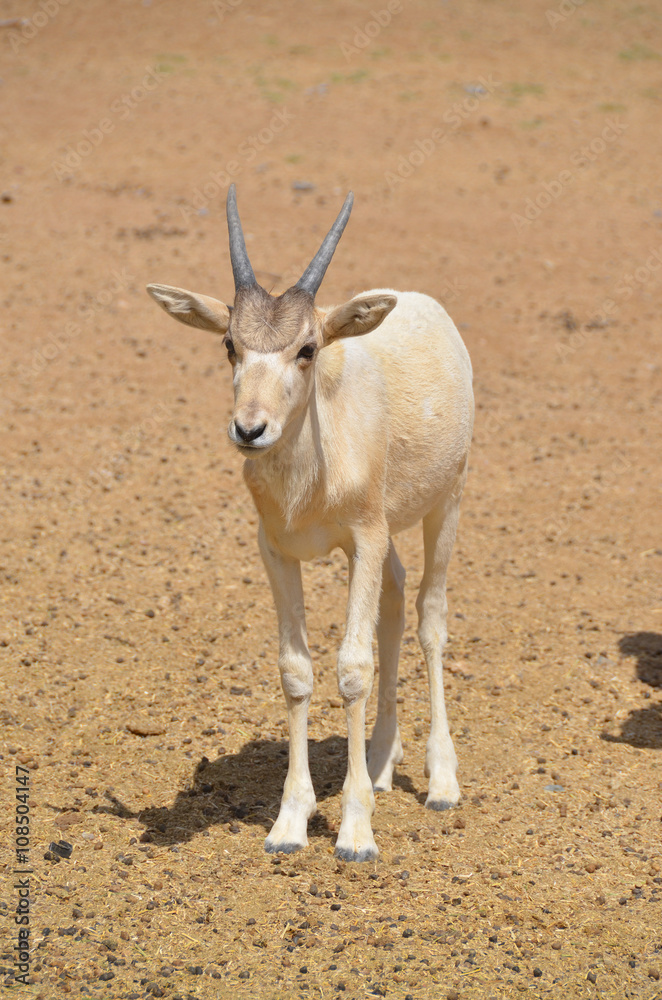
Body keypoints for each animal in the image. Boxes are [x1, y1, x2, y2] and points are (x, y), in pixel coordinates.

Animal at [146, 185, 474, 862]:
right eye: (230, 345)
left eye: (306, 349)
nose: (250, 429)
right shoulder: (278, 550)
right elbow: (296, 672)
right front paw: (291, 822)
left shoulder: (364, 539)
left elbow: (351, 669)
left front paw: (354, 832)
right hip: (384, 536)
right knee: (395, 600)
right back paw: (381, 761)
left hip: (446, 502)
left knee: (430, 617)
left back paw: (440, 781)